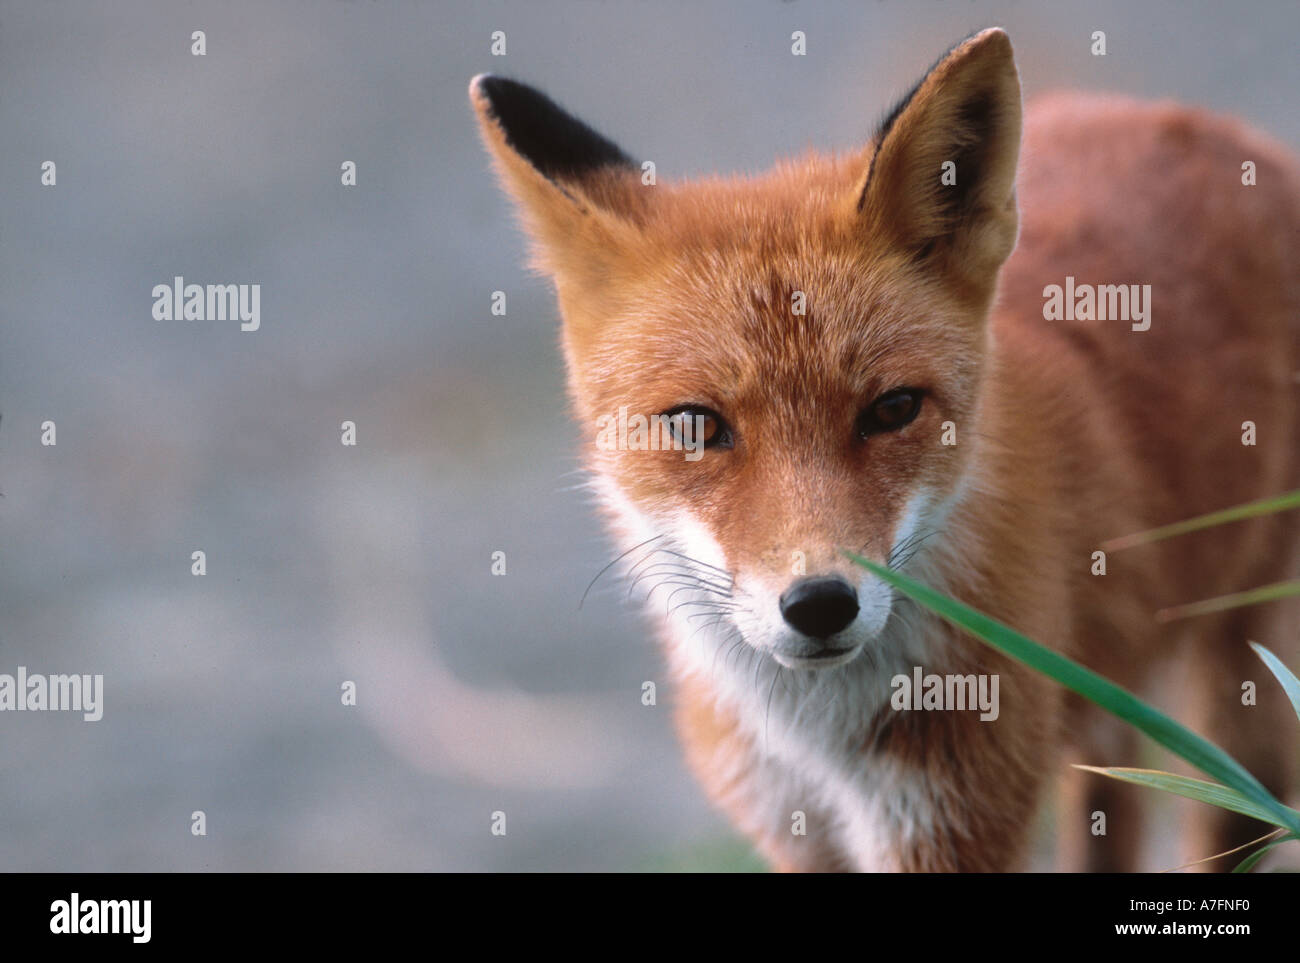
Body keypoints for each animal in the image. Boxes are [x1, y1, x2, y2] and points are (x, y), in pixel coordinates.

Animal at [469, 28, 1300, 871]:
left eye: (893, 408)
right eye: (697, 426)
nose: (819, 603)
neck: (817, 742)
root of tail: (1207, 122)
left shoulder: (949, 816)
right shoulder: (793, 827)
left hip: (1240, 667)